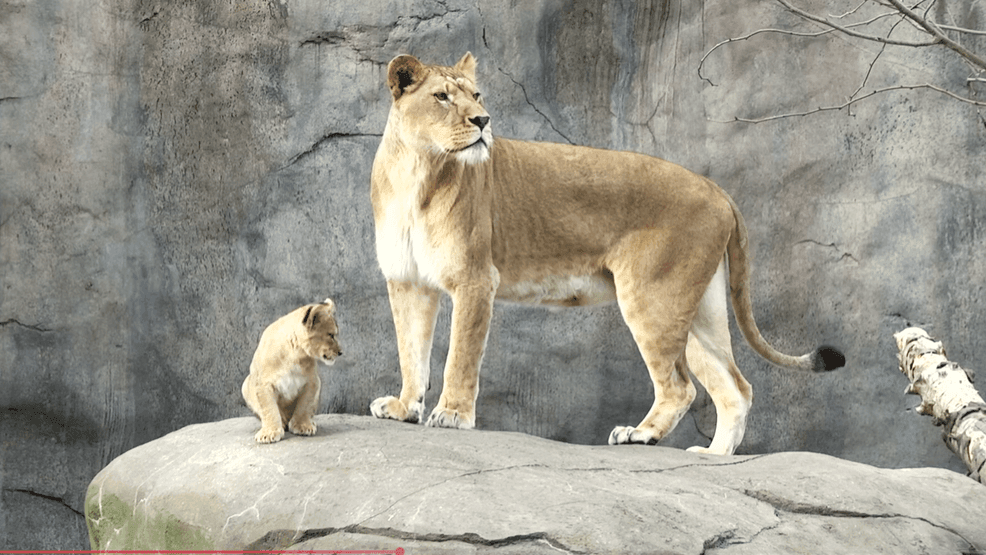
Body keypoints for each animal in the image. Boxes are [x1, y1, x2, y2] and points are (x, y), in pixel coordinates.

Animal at [242, 299, 342, 443]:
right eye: (331, 335)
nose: (340, 352)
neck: (295, 354)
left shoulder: (312, 381)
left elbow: (305, 405)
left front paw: (302, 426)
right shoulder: (263, 383)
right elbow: (269, 409)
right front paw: (269, 433)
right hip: (245, 385)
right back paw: (283, 422)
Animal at [368, 52, 844, 455]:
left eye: (476, 95)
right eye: (442, 97)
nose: (483, 120)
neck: (418, 172)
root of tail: (716, 188)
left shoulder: (475, 278)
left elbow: (460, 355)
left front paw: (452, 414)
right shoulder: (408, 282)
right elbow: (411, 351)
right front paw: (404, 407)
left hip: (653, 297)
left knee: (681, 386)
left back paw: (641, 434)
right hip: (699, 308)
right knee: (736, 387)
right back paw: (712, 456)